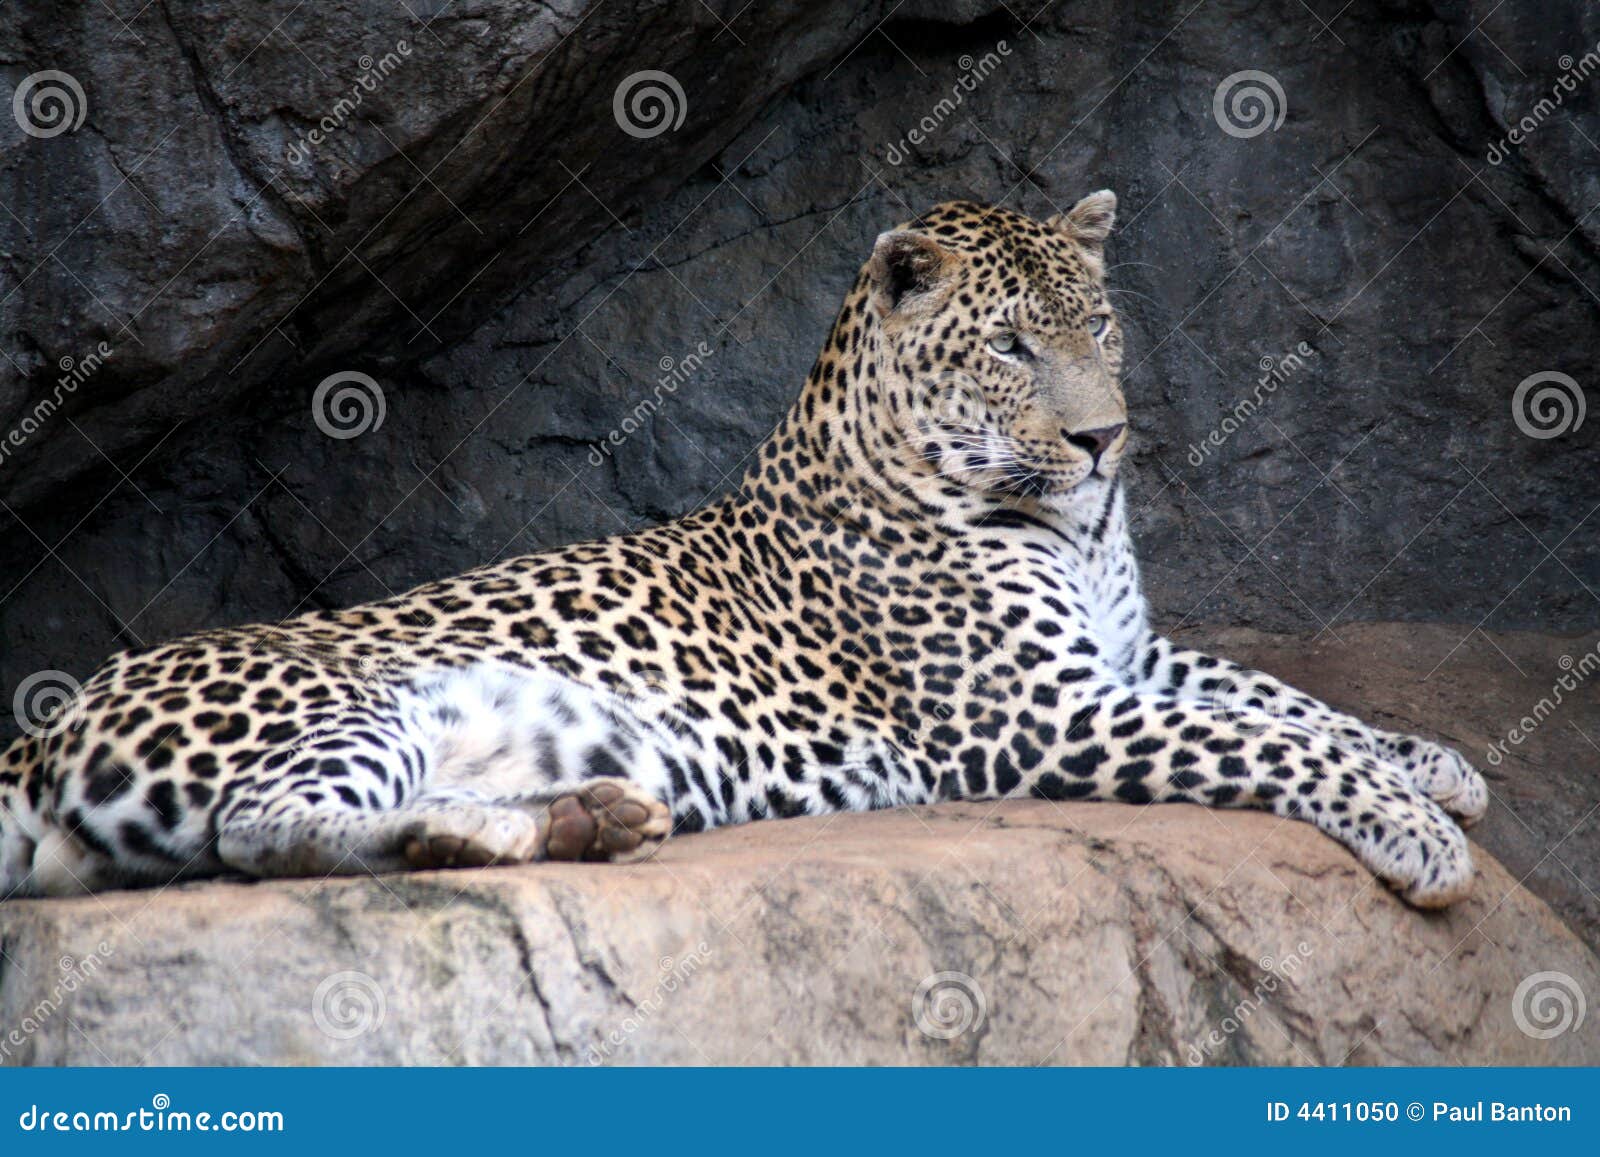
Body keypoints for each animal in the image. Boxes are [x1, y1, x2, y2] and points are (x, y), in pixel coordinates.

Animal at [0, 194, 1487, 906]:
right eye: (1013, 347)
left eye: (1102, 328)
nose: (1107, 439)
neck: (1074, 527)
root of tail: (41, 728)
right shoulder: (1038, 716)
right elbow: (1268, 741)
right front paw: (1414, 828)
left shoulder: (1132, 658)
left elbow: (1282, 695)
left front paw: (1435, 762)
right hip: (343, 698)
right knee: (259, 829)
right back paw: (501, 830)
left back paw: (582, 817)